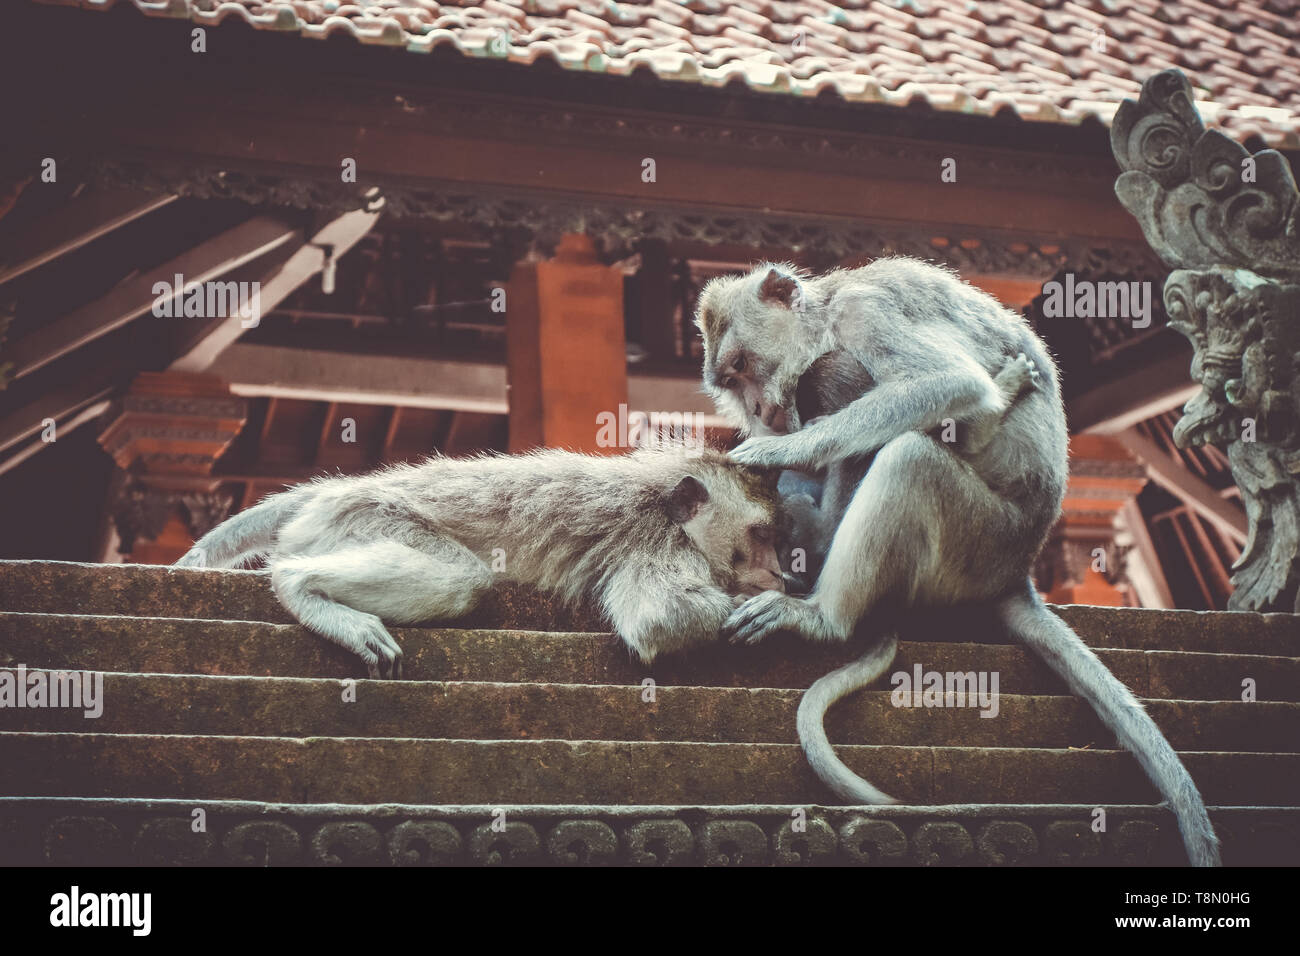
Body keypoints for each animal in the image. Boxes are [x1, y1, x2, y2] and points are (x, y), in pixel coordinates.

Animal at [175, 445, 787, 676]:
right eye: (760, 534)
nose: (780, 570)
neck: (664, 499)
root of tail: (347, 487)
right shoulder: (656, 542)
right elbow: (665, 616)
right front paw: (775, 610)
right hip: (367, 515)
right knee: (465, 579)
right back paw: (303, 590)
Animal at [695, 257, 1221, 867]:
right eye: (732, 382)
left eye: (741, 364)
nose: (758, 410)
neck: (825, 317)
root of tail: (1019, 570)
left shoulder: (865, 315)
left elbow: (950, 384)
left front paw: (780, 450)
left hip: (979, 538)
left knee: (910, 456)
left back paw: (824, 616)